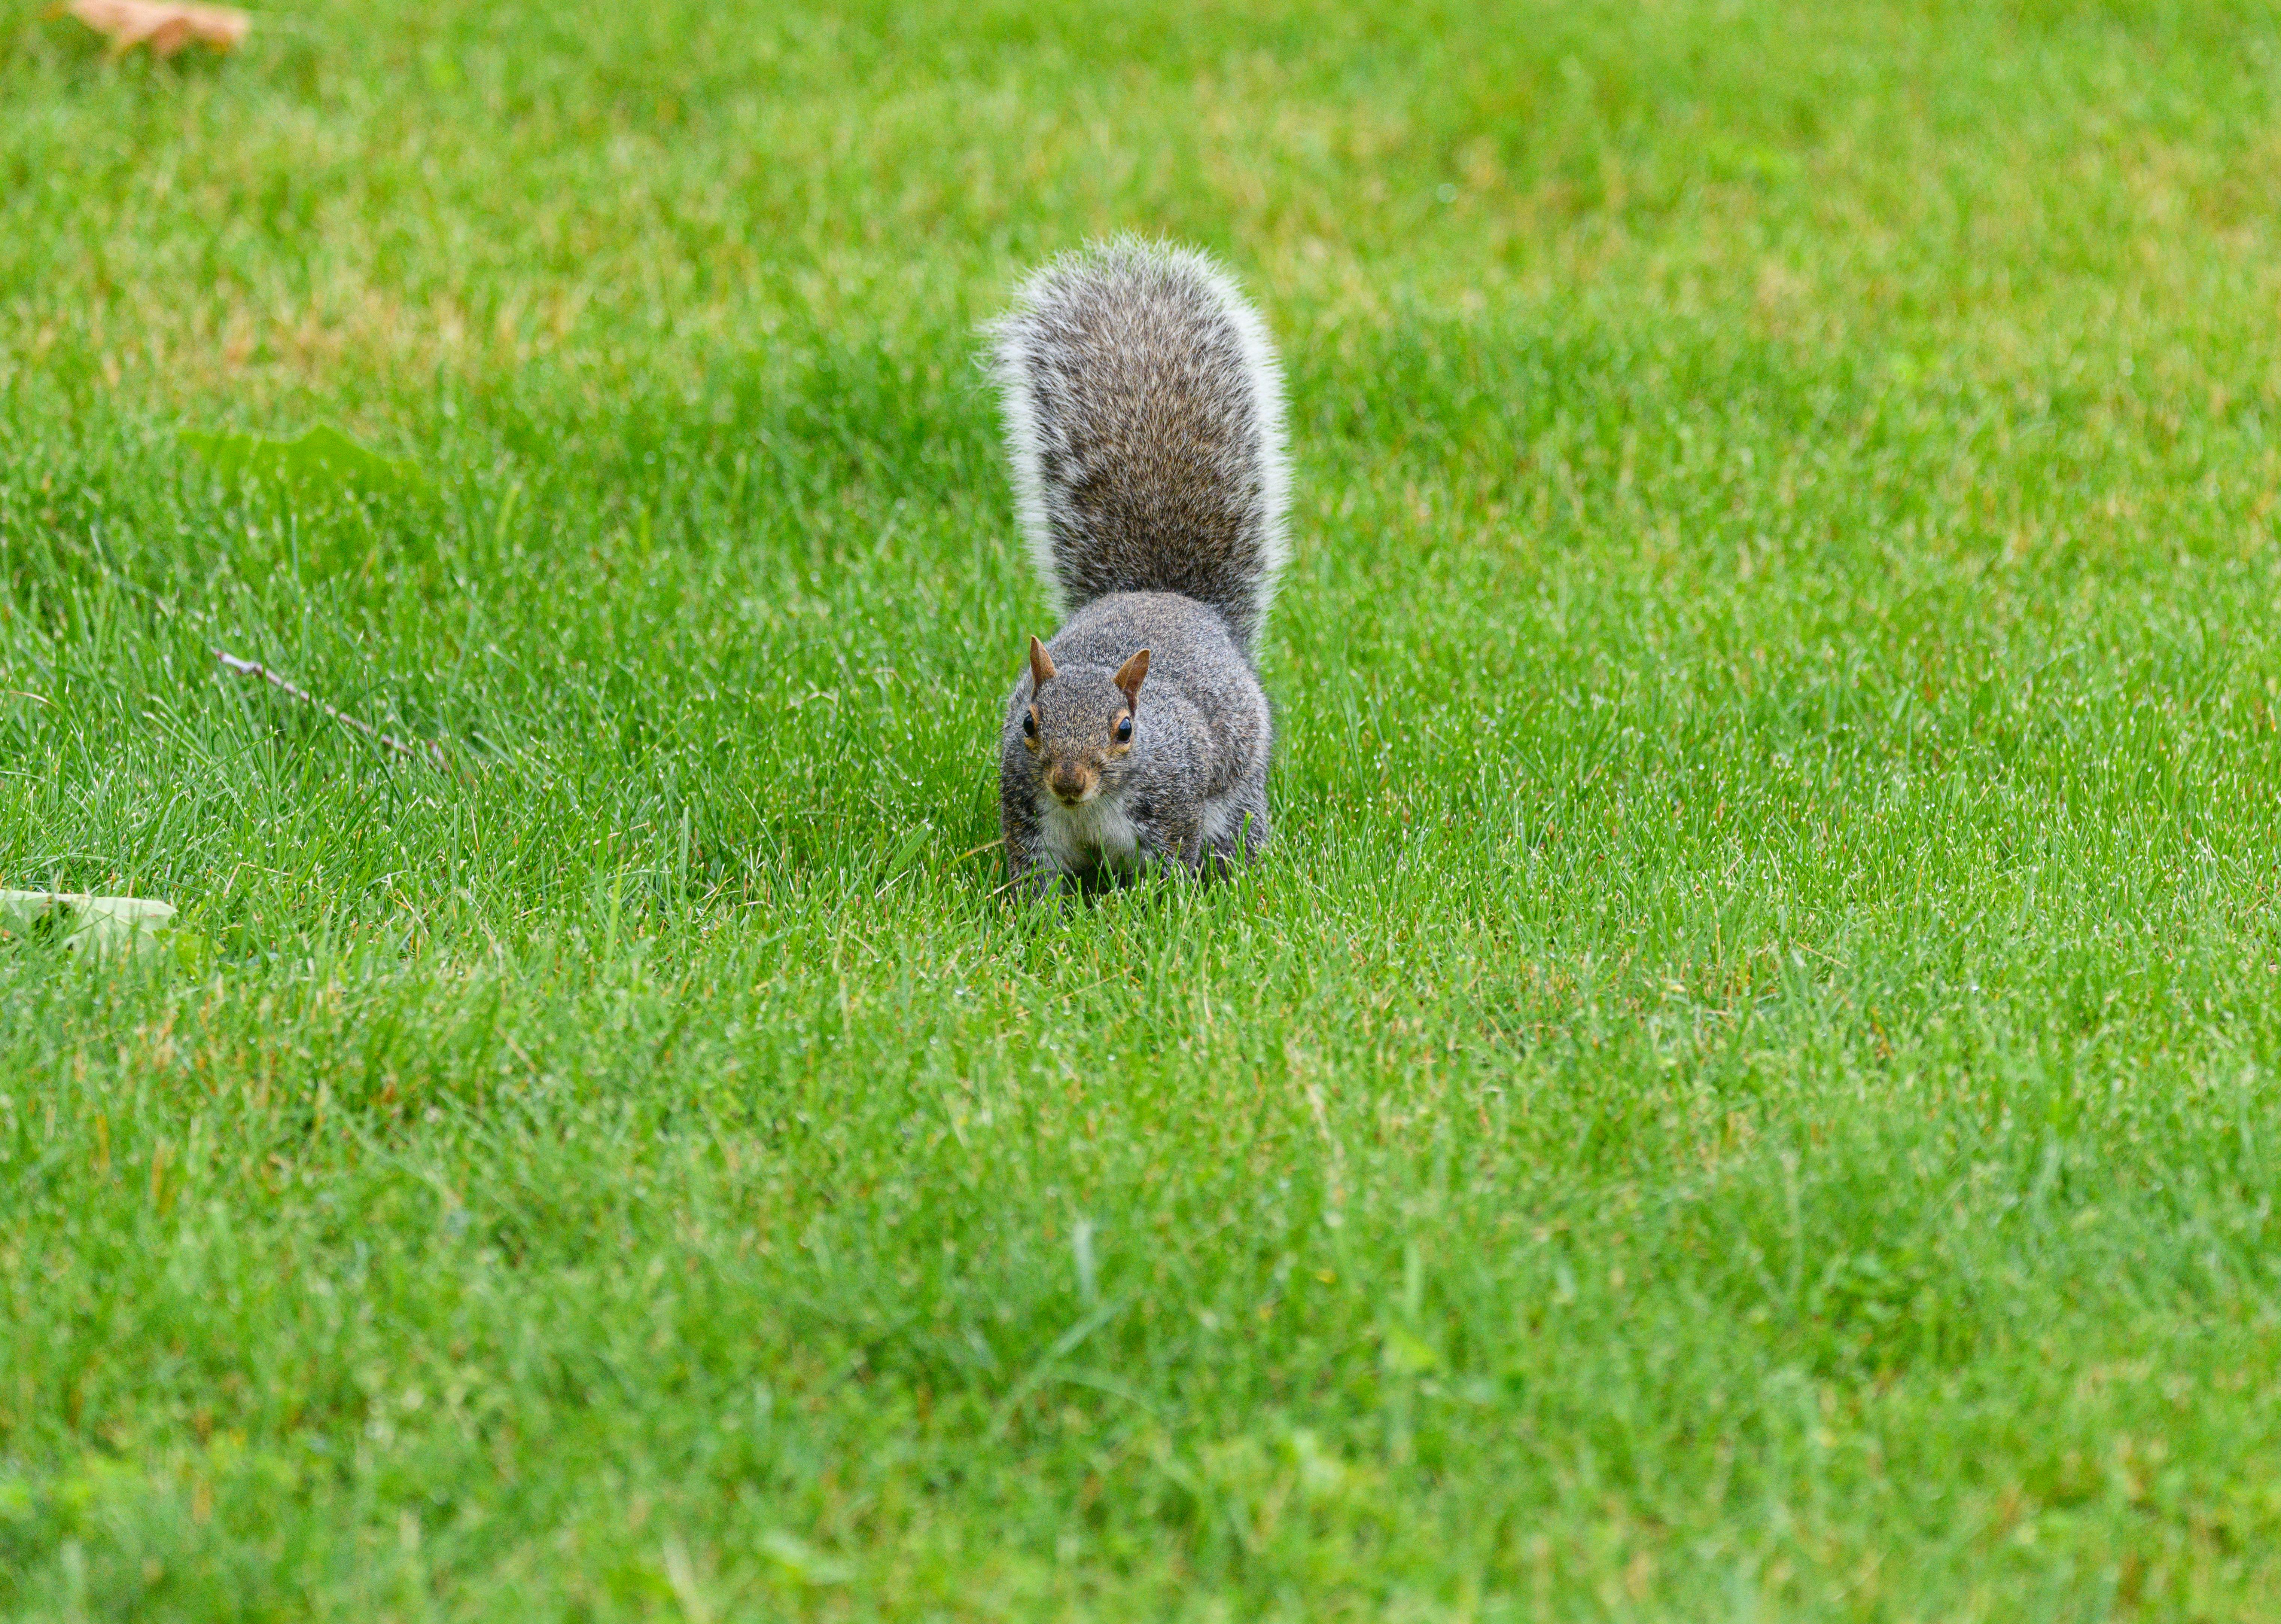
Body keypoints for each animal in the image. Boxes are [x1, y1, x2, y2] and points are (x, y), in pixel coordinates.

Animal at [985, 240, 1291, 897]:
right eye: (1028, 722)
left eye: (1125, 729)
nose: (1067, 782)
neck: (1089, 811)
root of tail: (1166, 596)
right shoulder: (1029, 821)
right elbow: (1035, 882)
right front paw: (1029, 915)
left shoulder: (1171, 813)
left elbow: (1167, 874)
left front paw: (1154, 908)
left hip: (1239, 796)